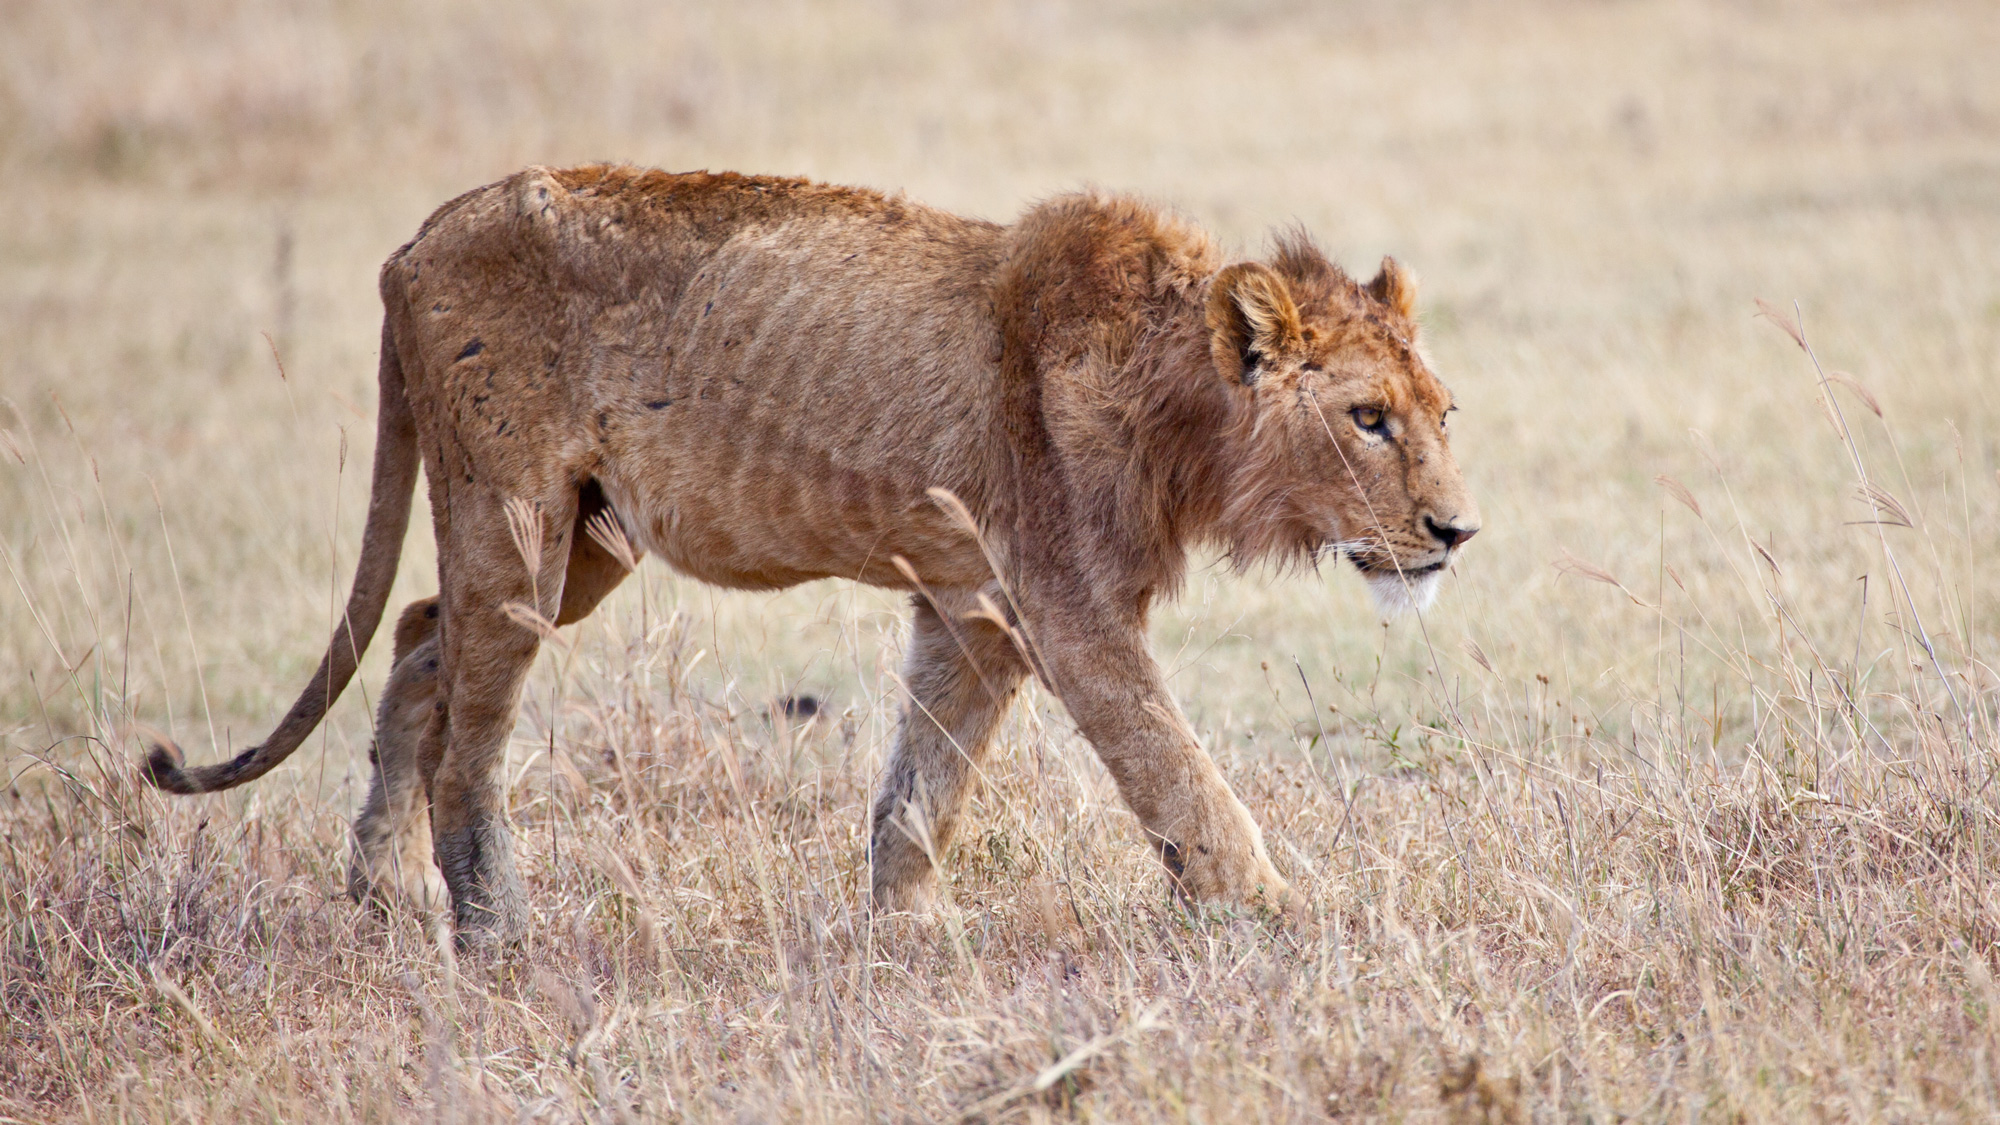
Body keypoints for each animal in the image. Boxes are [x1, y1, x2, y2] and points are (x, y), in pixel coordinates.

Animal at [145, 164, 1480, 943]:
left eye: (1441, 413)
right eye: (1366, 419)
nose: (1455, 532)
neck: (1177, 405)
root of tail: (414, 239)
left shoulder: (972, 608)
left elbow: (923, 781)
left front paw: (906, 931)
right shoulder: (1065, 608)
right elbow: (1177, 772)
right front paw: (1285, 915)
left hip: (587, 539)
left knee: (425, 637)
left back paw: (385, 891)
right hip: (514, 520)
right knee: (469, 737)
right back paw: (492, 927)